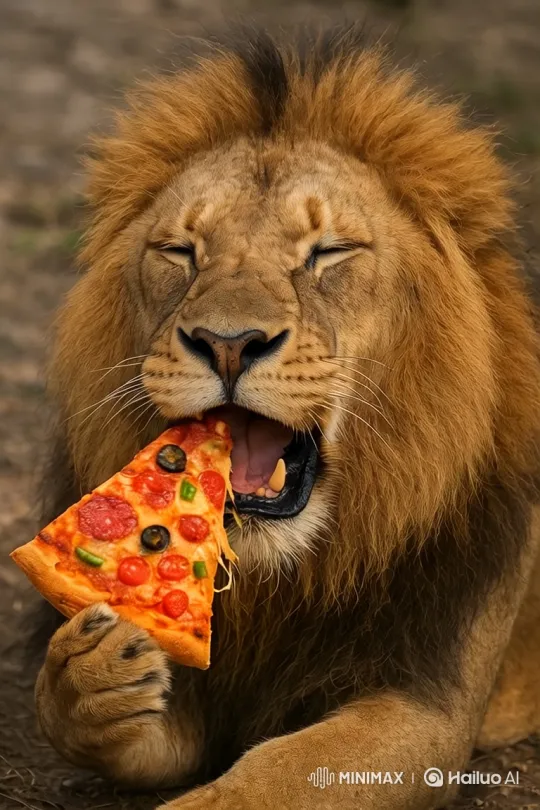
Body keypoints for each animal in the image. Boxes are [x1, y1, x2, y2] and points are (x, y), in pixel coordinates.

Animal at [32, 28, 540, 810]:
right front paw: (87, 673)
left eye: (328, 253)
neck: (289, 575)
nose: (228, 343)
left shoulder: (430, 702)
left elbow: (268, 777)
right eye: (179, 252)